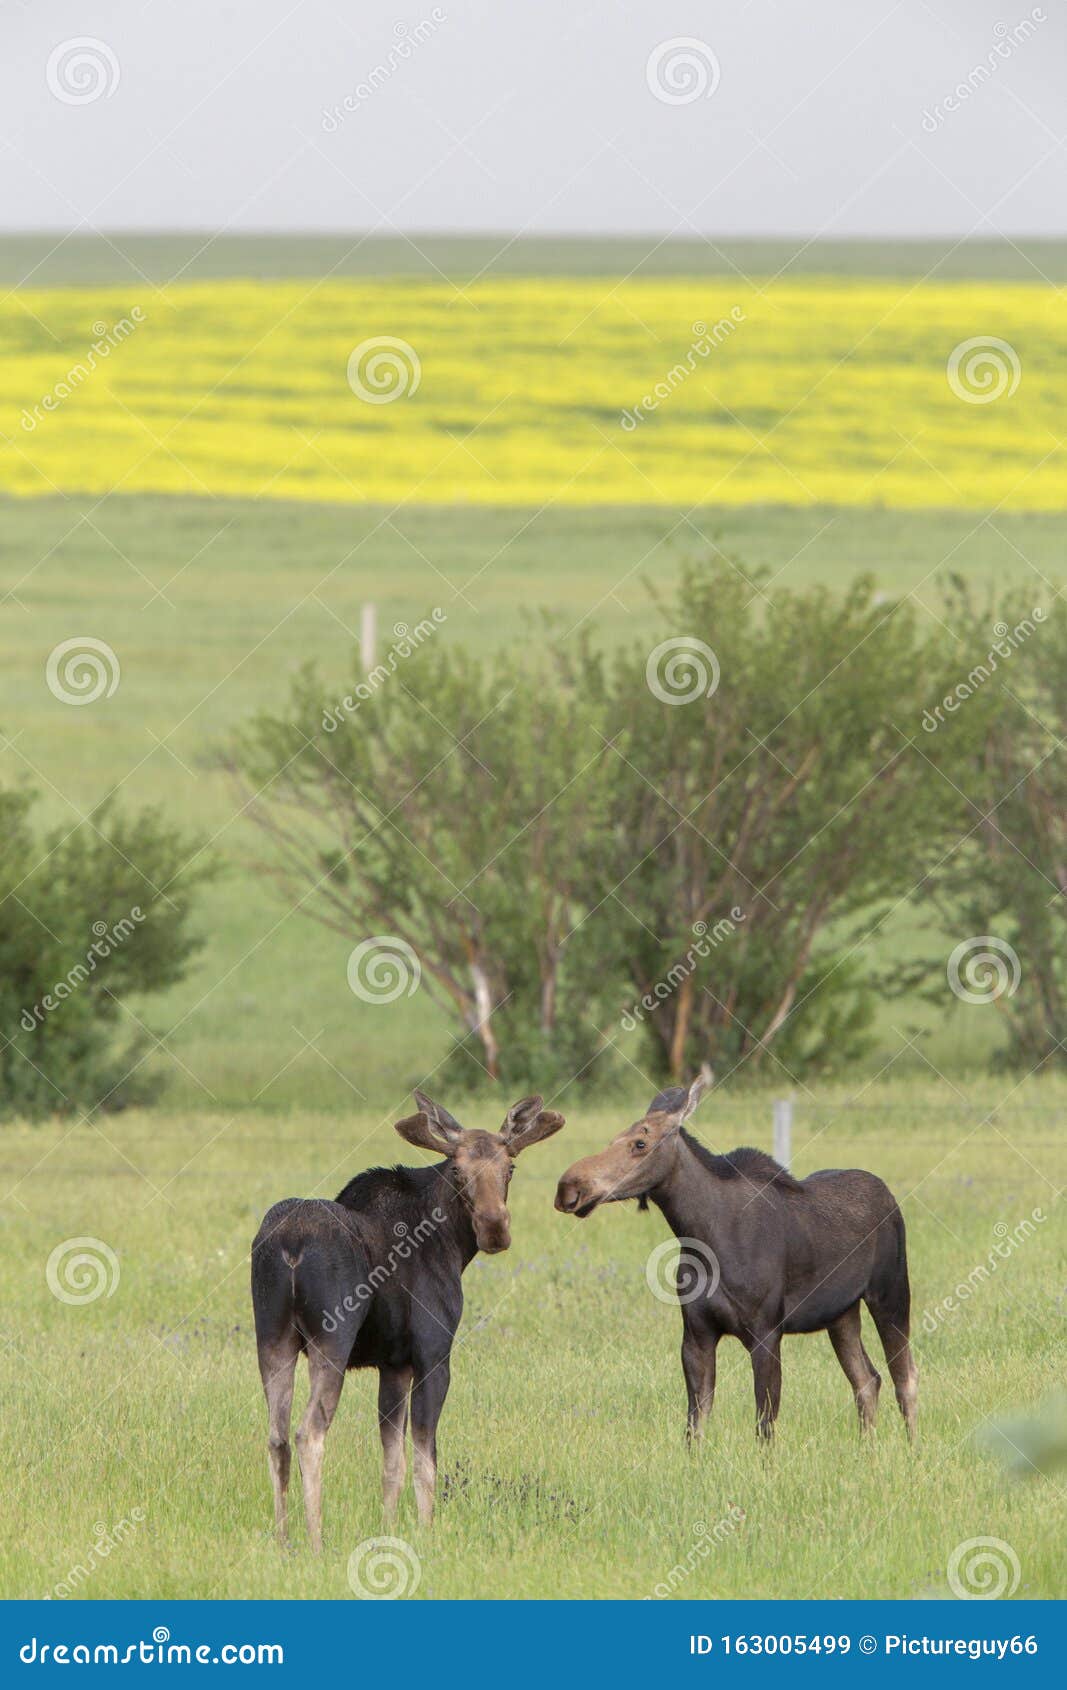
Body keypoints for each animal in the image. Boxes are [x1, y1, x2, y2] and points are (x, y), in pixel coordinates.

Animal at [251, 1090, 564, 1550]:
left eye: (510, 1167)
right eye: (458, 1169)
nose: (494, 1227)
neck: (452, 1244)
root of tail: (291, 1245)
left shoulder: (393, 1364)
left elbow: (392, 1463)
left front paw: (389, 1530)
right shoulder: (433, 1355)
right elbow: (425, 1459)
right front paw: (427, 1531)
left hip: (272, 1337)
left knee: (276, 1436)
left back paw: (283, 1540)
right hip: (332, 1338)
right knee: (309, 1432)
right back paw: (315, 1541)